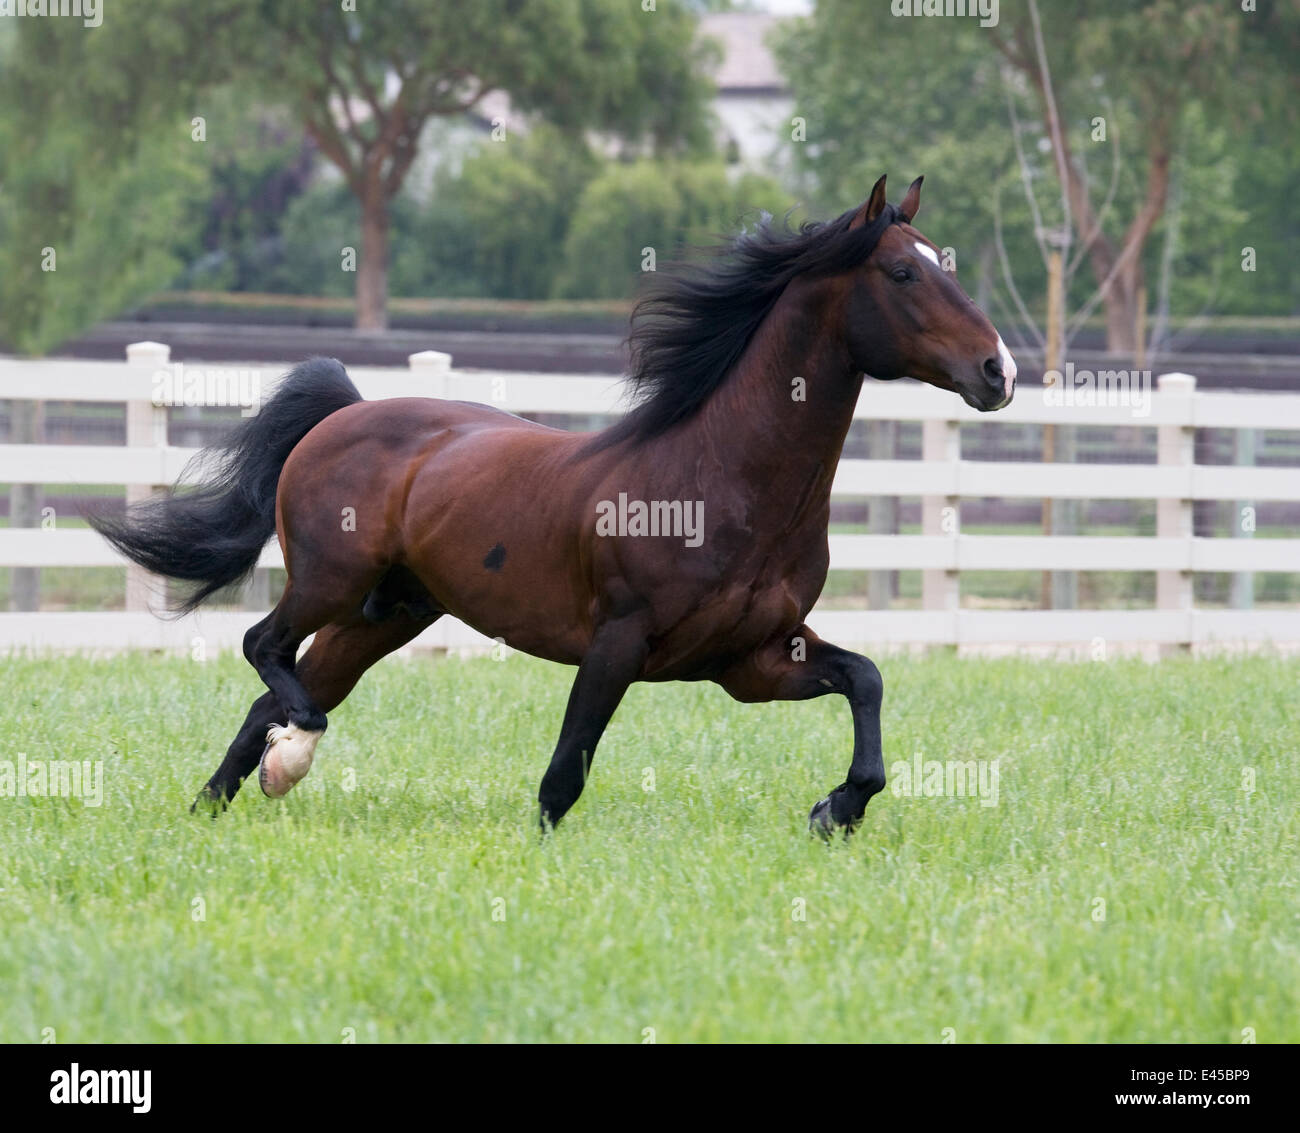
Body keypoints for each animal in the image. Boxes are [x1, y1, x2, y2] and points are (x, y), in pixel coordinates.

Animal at [91, 174, 1016, 834]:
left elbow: (865, 679)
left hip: (386, 615)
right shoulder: (618, 642)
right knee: (266, 651)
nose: (998, 371)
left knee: (270, 695)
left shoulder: (750, 659)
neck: (723, 478)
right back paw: (290, 756)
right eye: (902, 271)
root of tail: (344, 412)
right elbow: (563, 775)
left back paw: (220, 800)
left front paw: (837, 809)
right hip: (330, 584)